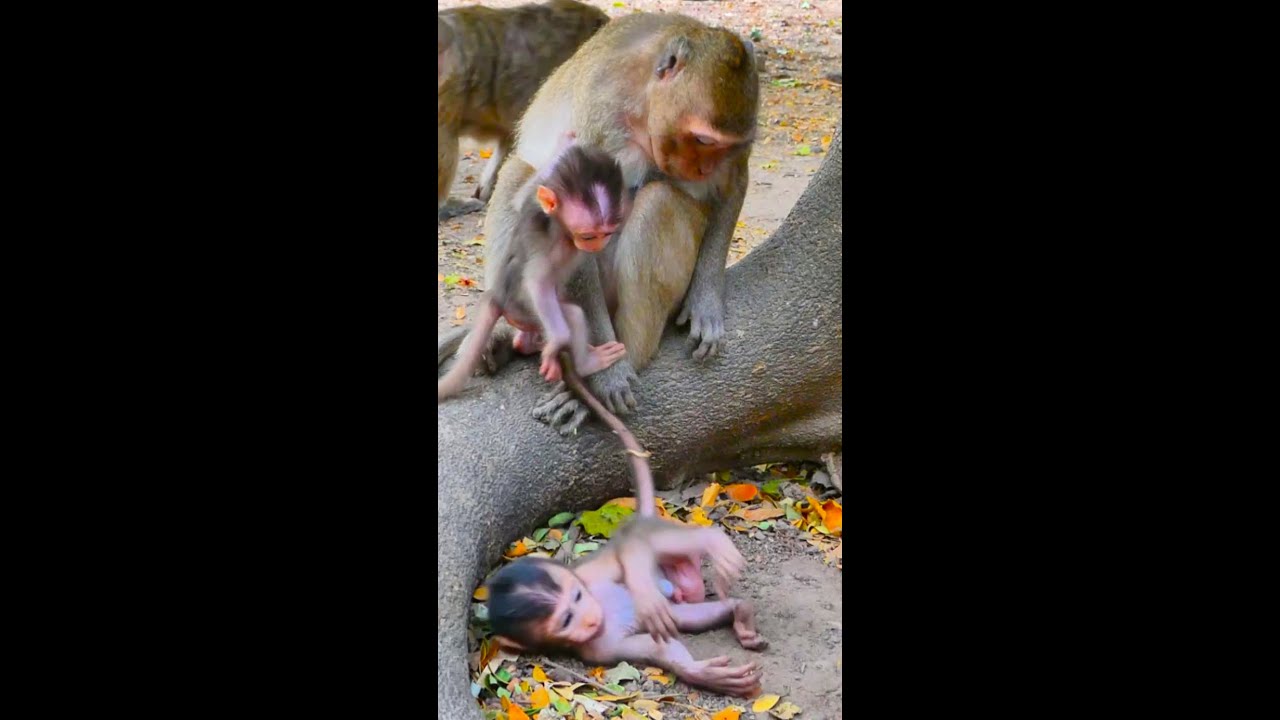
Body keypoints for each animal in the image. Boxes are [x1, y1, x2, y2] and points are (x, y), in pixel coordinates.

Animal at [438, 143, 630, 403]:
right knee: (565, 312)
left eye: (607, 233)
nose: (597, 244)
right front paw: (557, 342)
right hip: (522, 311)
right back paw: (577, 360)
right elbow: (538, 284)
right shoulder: (546, 246)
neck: (564, 234)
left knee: (573, 314)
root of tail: (498, 296)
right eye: (589, 235)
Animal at [485, 517, 768, 698]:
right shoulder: (598, 649)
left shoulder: (589, 574)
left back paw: (711, 541)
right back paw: (739, 612)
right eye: (566, 619)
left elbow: (625, 555)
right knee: (683, 616)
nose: (590, 619)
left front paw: (643, 589)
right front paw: (702, 673)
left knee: (642, 542)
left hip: (651, 532)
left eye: (577, 596)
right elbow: (658, 646)